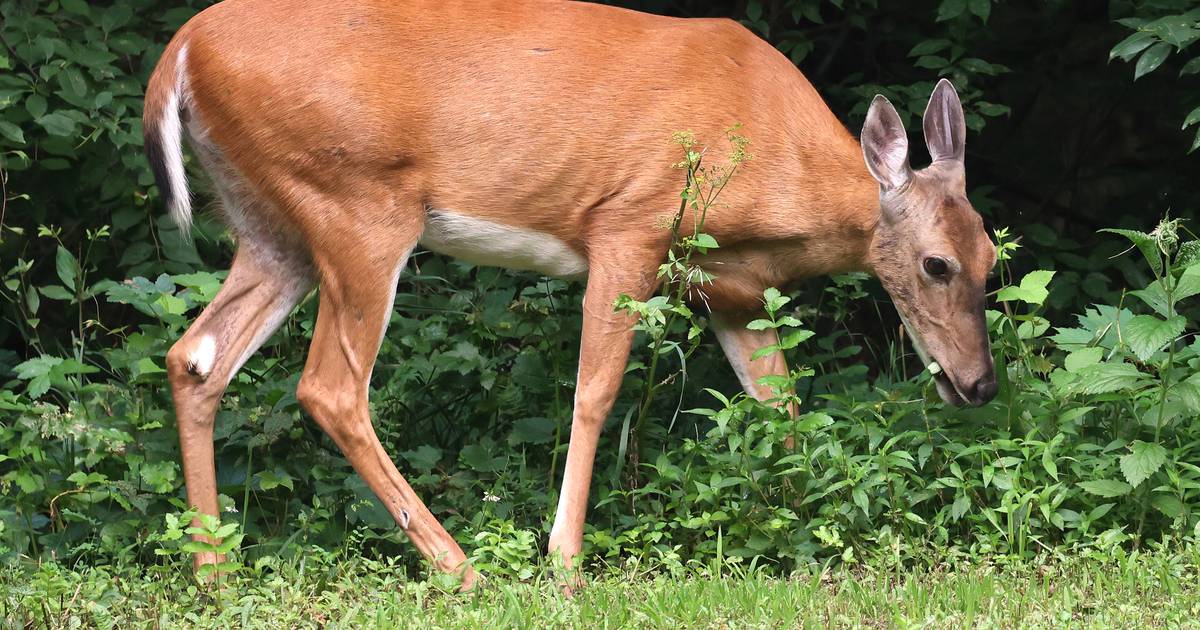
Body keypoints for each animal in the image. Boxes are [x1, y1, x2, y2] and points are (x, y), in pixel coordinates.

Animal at [142, 0, 998, 589]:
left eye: (991, 257)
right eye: (936, 266)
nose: (980, 384)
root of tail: (180, 51)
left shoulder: (736, 292)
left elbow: (777, 406)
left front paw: (805, 527)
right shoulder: (629, 224)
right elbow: (595, 392)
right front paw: (565, 560)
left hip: (270, 226)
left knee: (195, 357)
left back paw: (212, 573)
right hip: (357, 204)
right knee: (329, 387)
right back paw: (461, 570)